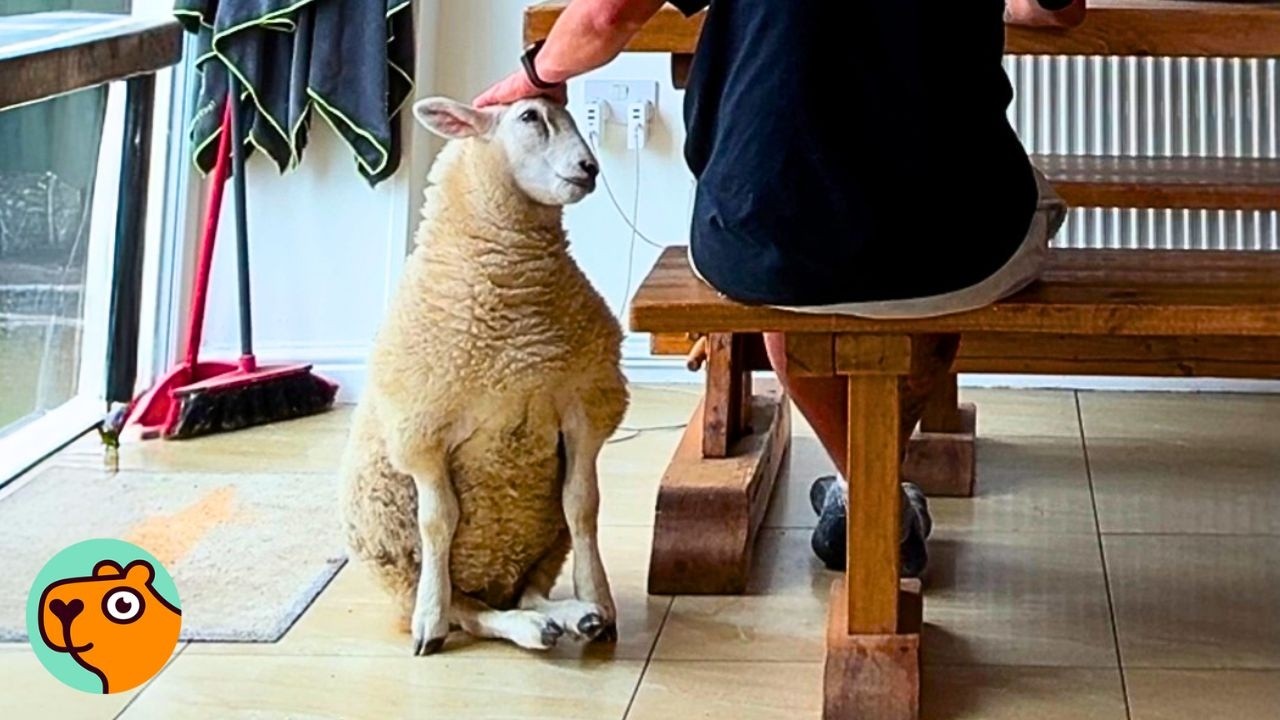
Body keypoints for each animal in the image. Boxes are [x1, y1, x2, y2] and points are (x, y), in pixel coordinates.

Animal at [339, 96, 629, 656]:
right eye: (530, 117)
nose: (589, 168)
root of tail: (498, 583)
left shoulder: (584, 409)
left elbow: (582, 506)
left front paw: (599, 599)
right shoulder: (422, 433)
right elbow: (438, 524)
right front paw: (429, 623)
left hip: (543, 547)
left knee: (527, 592)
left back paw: (571, 616)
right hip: (401, 567)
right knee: (472, 612)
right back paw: (510, 625)